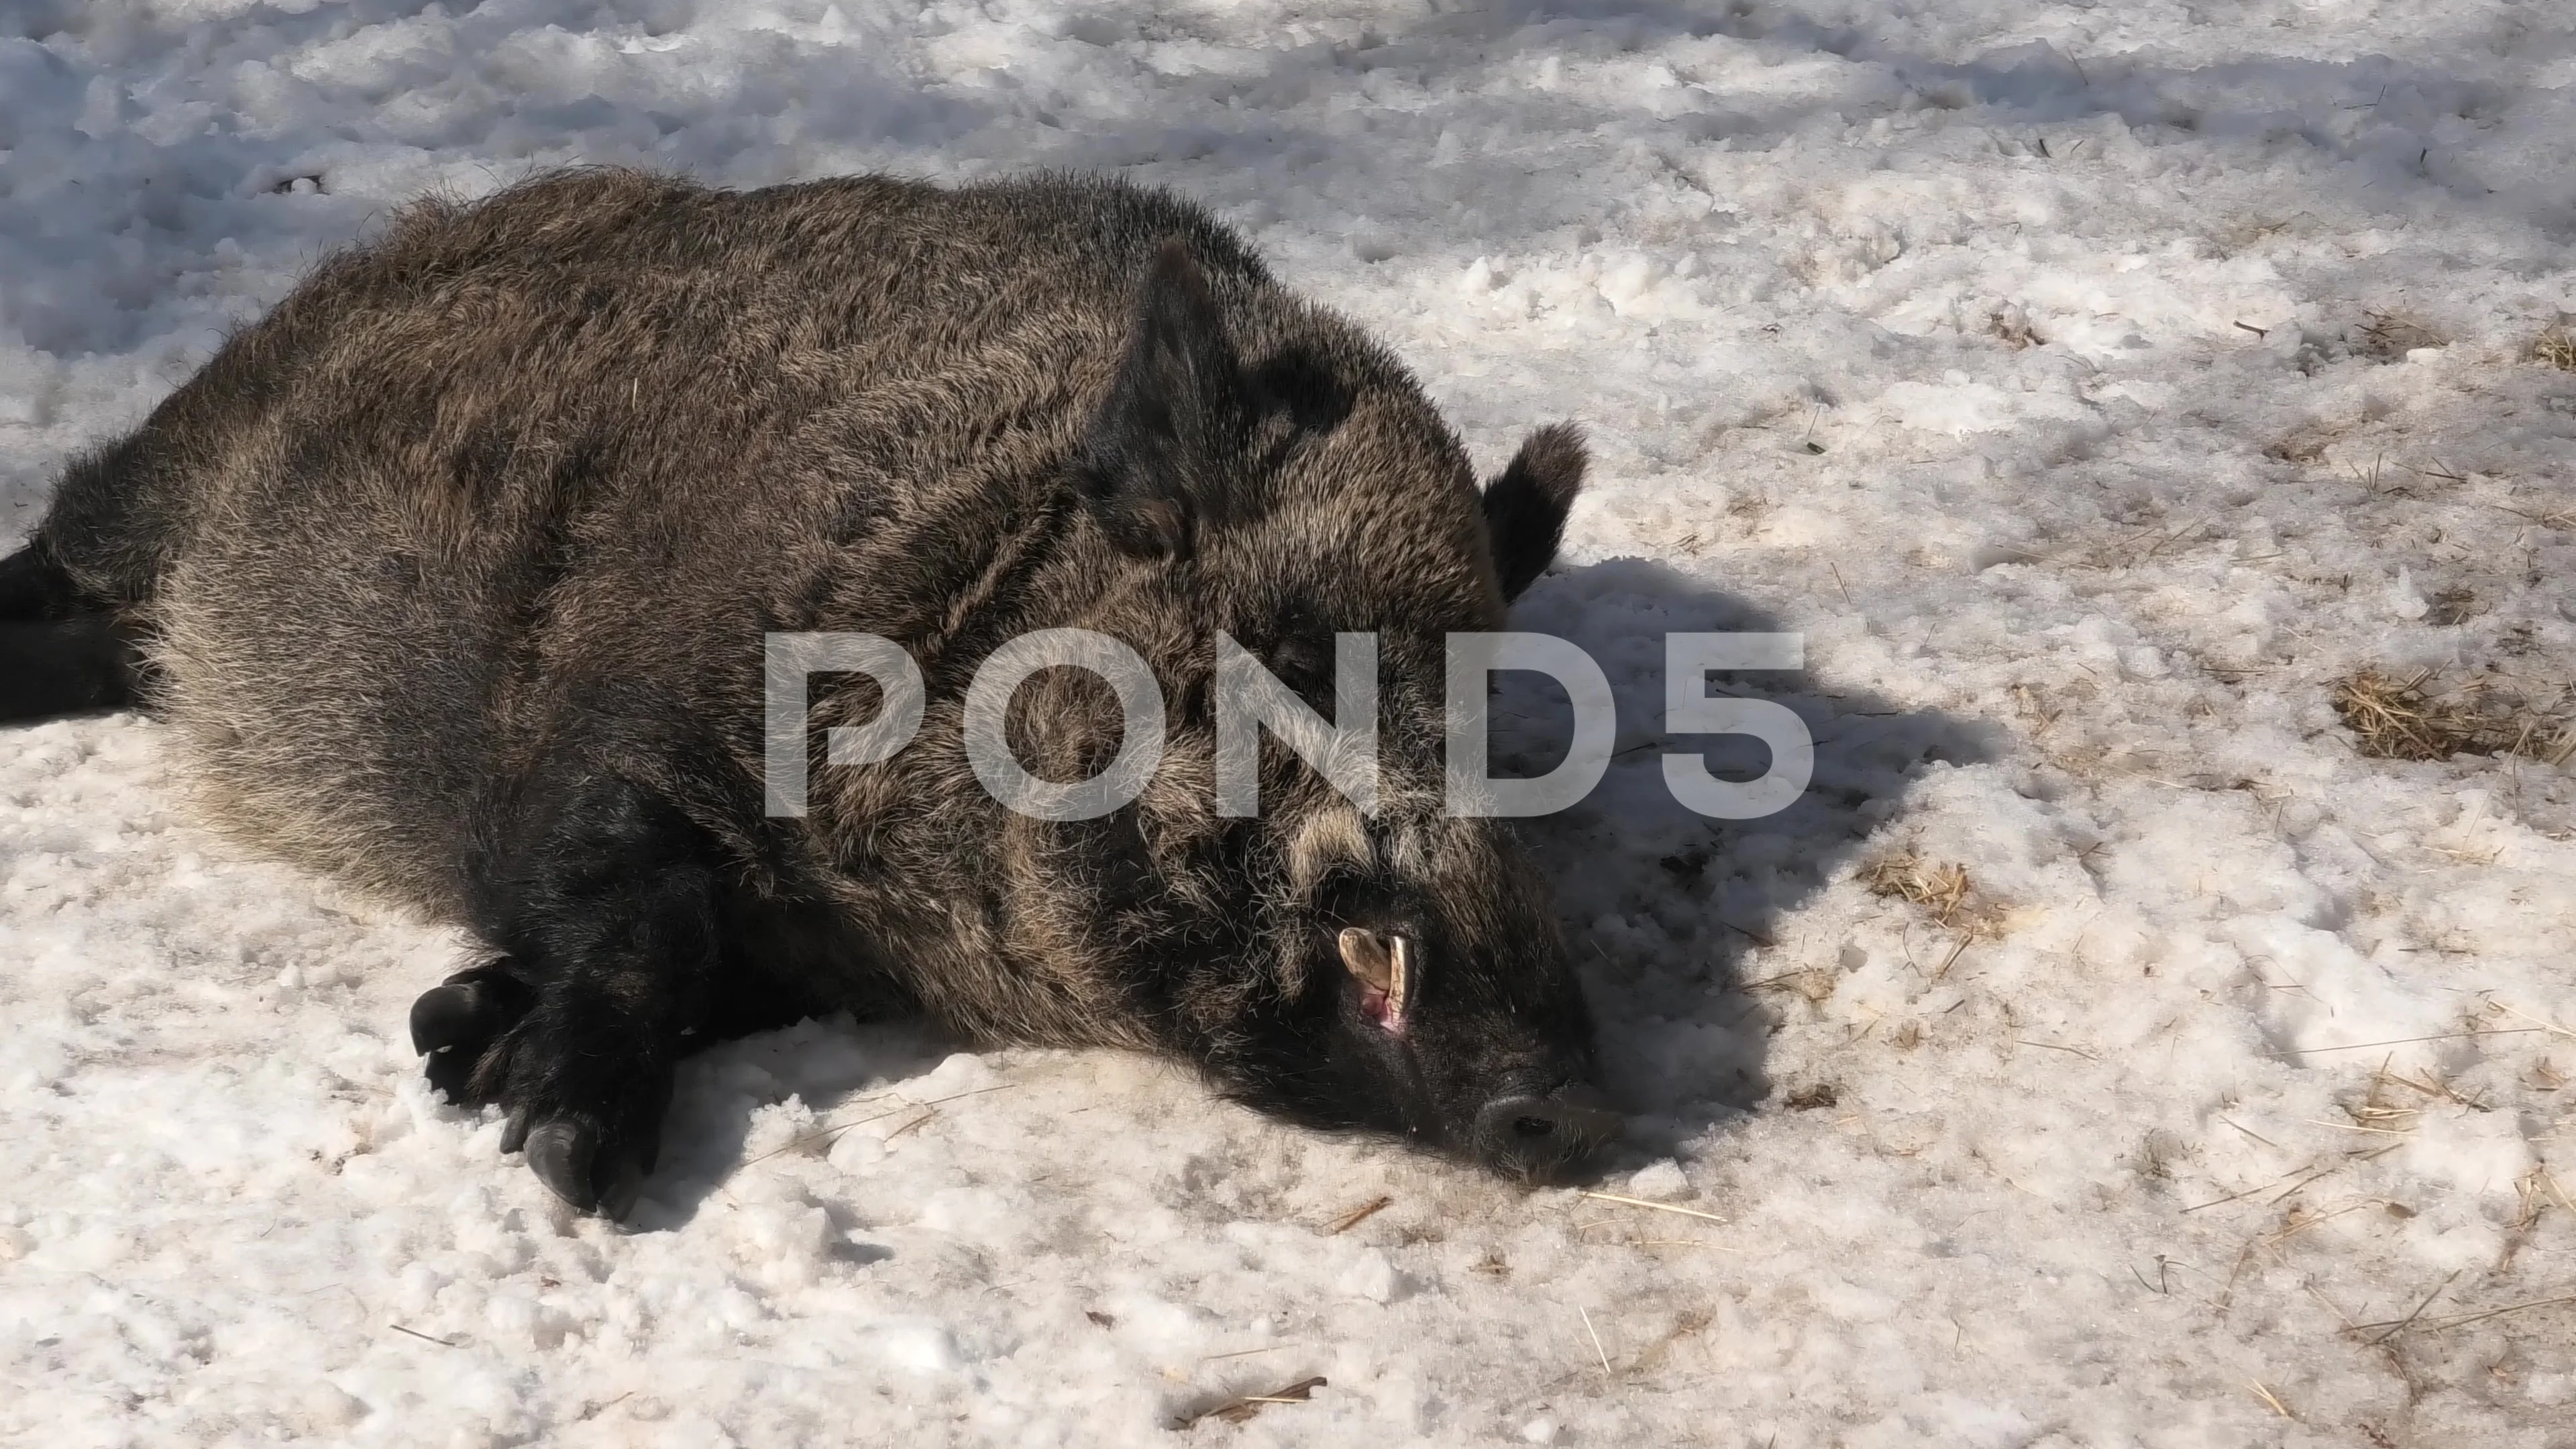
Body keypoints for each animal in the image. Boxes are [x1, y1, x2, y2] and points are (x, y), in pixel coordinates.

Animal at [0, 168, 1619, 1215]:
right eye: (1286, 652)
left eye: (1491, 710)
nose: (1575, 1105)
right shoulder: (628, 726)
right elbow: (644, 902)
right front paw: (569, 1158)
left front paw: (458, 1040)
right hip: (165, 469)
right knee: (72, 568)